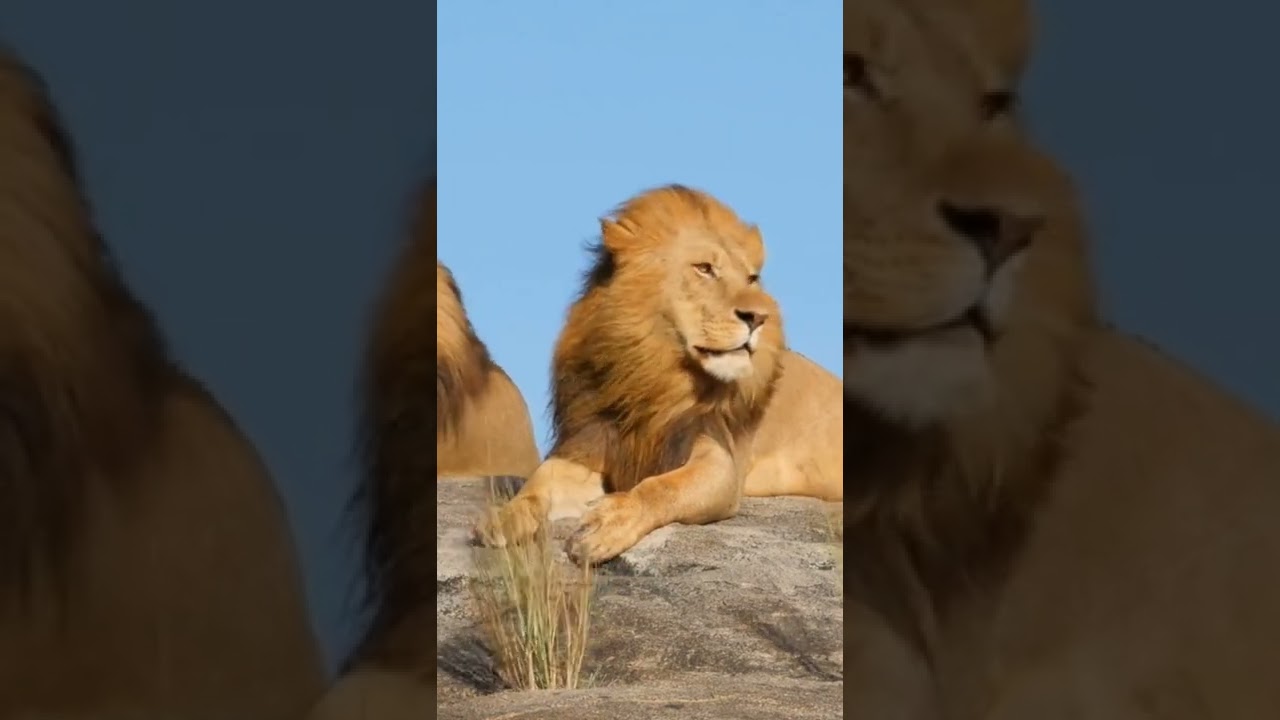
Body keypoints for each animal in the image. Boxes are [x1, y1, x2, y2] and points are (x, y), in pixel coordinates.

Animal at [473, 184, 843, 567]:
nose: (757, 317)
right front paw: (506, 516)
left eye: (751, 279)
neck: (655, 371)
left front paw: (609, 522)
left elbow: (661, 487)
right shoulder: (593, 442)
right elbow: (539, 482)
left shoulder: (720, 461)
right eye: (704, 268)